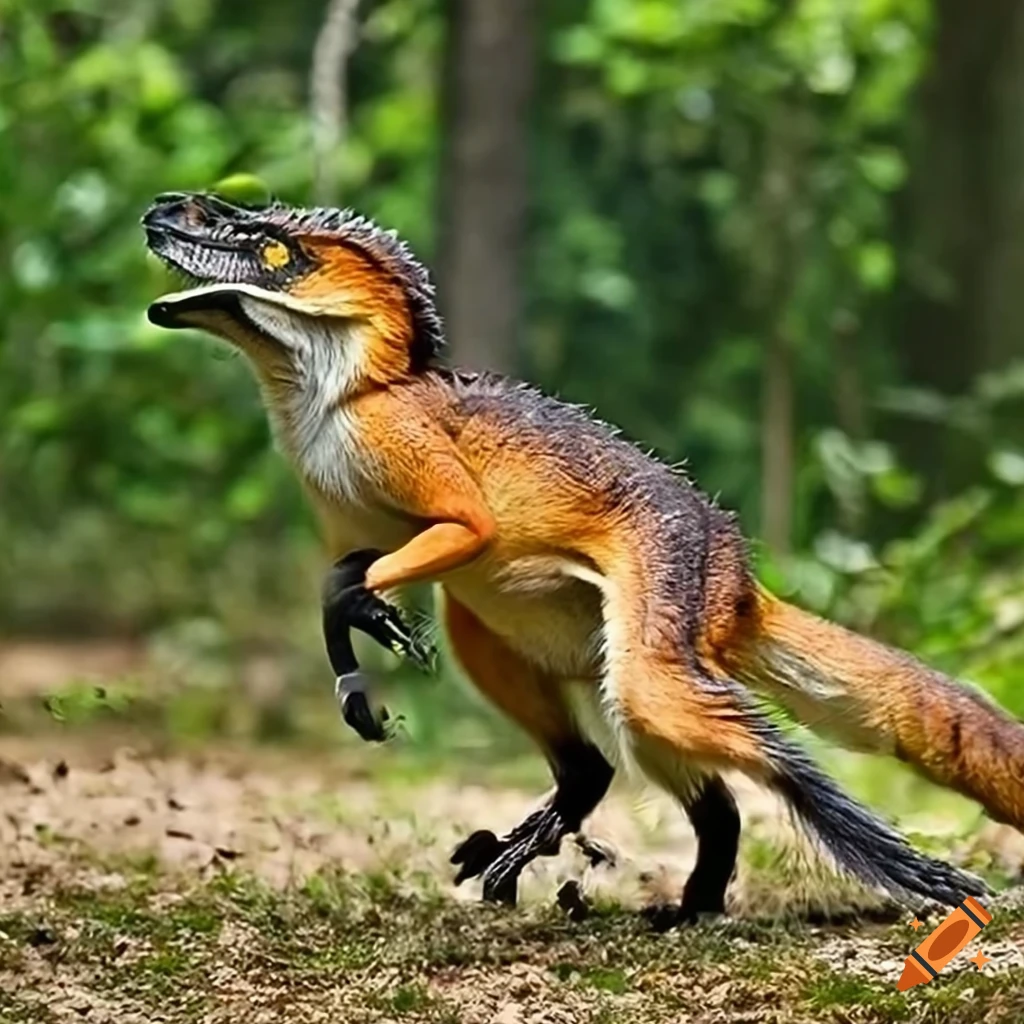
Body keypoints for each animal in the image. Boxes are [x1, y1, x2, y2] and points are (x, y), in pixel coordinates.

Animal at [142, 190, 1023, 925]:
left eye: (267, 243)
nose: (161, 209)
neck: (331, 400)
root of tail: (738, 578)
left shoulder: (408, 451)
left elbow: (421, 548)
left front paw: (361, 628)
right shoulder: (346, 516)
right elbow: (342, 573)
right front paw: (356, 677)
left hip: (654, 636)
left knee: (755, 757)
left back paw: (916, 881)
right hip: (517, 628)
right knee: (632, 777)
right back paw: (661, 893)